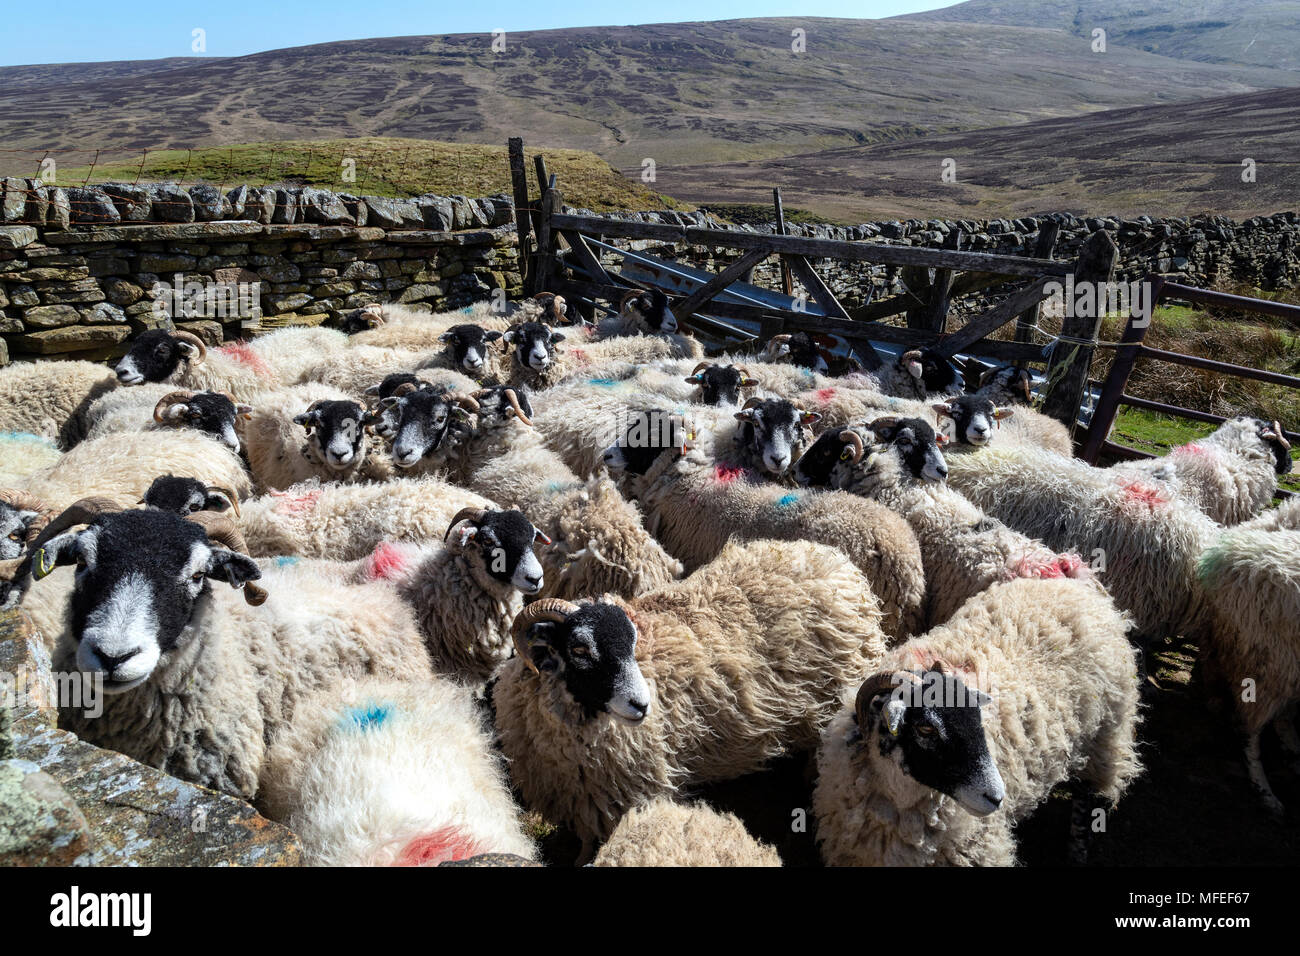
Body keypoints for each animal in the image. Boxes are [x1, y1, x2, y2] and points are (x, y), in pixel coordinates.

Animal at [813, 576, 1140, 866]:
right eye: (925, 728)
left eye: (977, 719)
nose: (996, 797)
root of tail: (1081, 588)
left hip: (1106, 733)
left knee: (1087, 799)